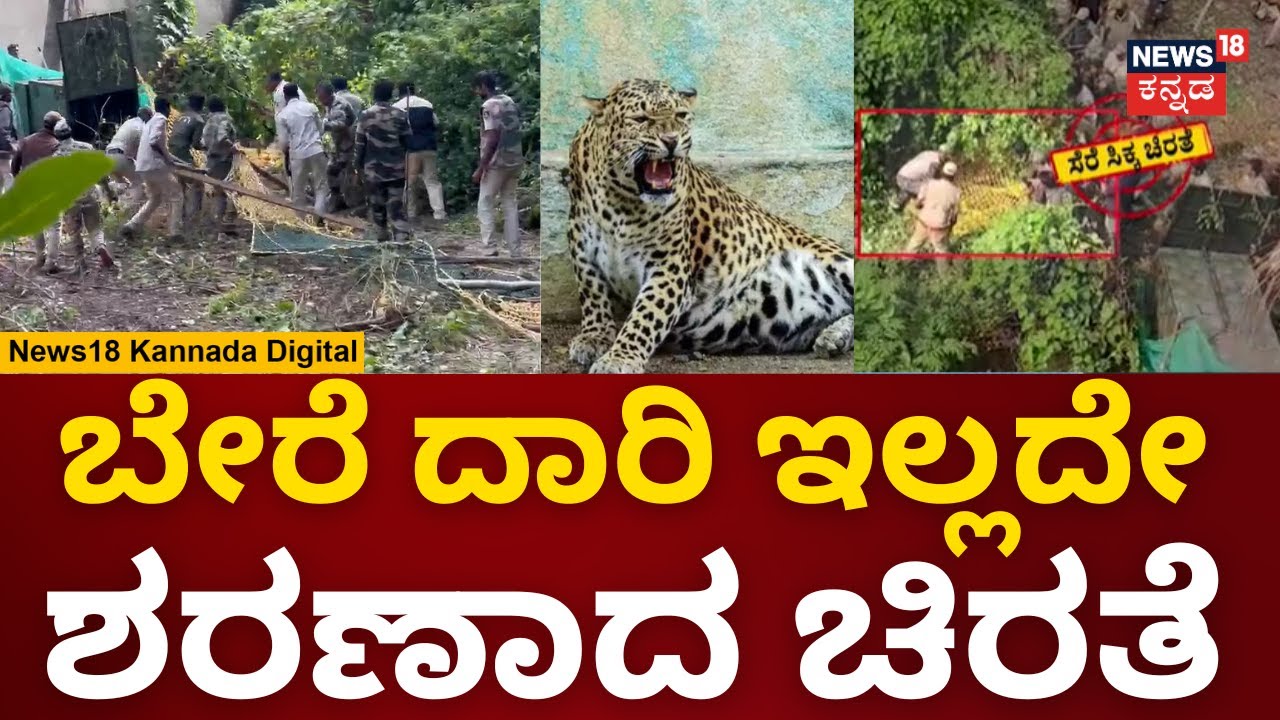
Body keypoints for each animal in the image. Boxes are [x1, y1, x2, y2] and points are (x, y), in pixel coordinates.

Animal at [564, 78, 855, 374]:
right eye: (640, 119)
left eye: (681, 115)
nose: (671, 140)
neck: (622, 203)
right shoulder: (582, 249)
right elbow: (593, 296)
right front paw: (594, 337)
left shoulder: (669, 267)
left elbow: (645, 316)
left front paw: (619, 358)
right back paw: (835, 337)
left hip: (839, 261)